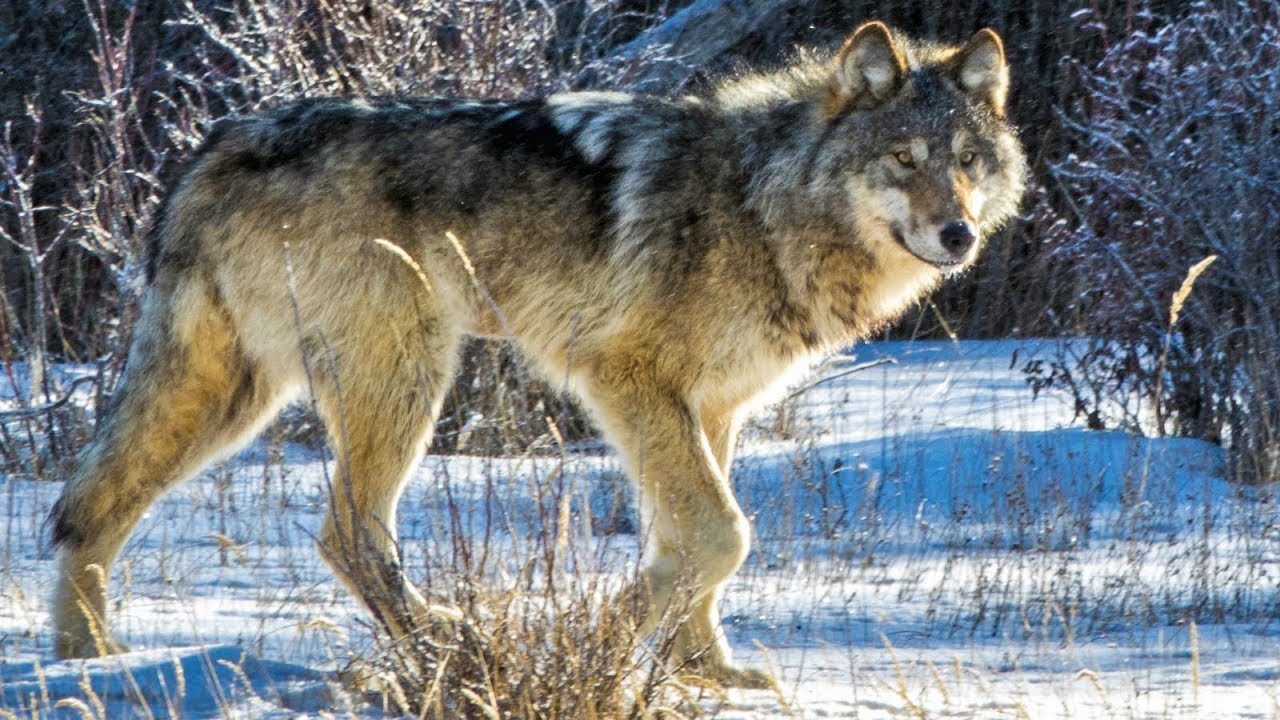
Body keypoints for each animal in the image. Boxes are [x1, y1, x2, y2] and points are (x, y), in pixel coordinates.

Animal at [49, 21, 1026, 685]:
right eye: (903, 158)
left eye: (968, 160)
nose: (957, 235)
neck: (761, 202)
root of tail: (218, 144)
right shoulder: (627, 381)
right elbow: (720, 536)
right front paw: (604, 625)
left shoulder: (710, 409)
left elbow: (696, 546)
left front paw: (707, 672)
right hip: (404, 378)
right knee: (347, 536)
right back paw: (447, 640)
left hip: (239, 397)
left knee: (89, 507)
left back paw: (83, 667)